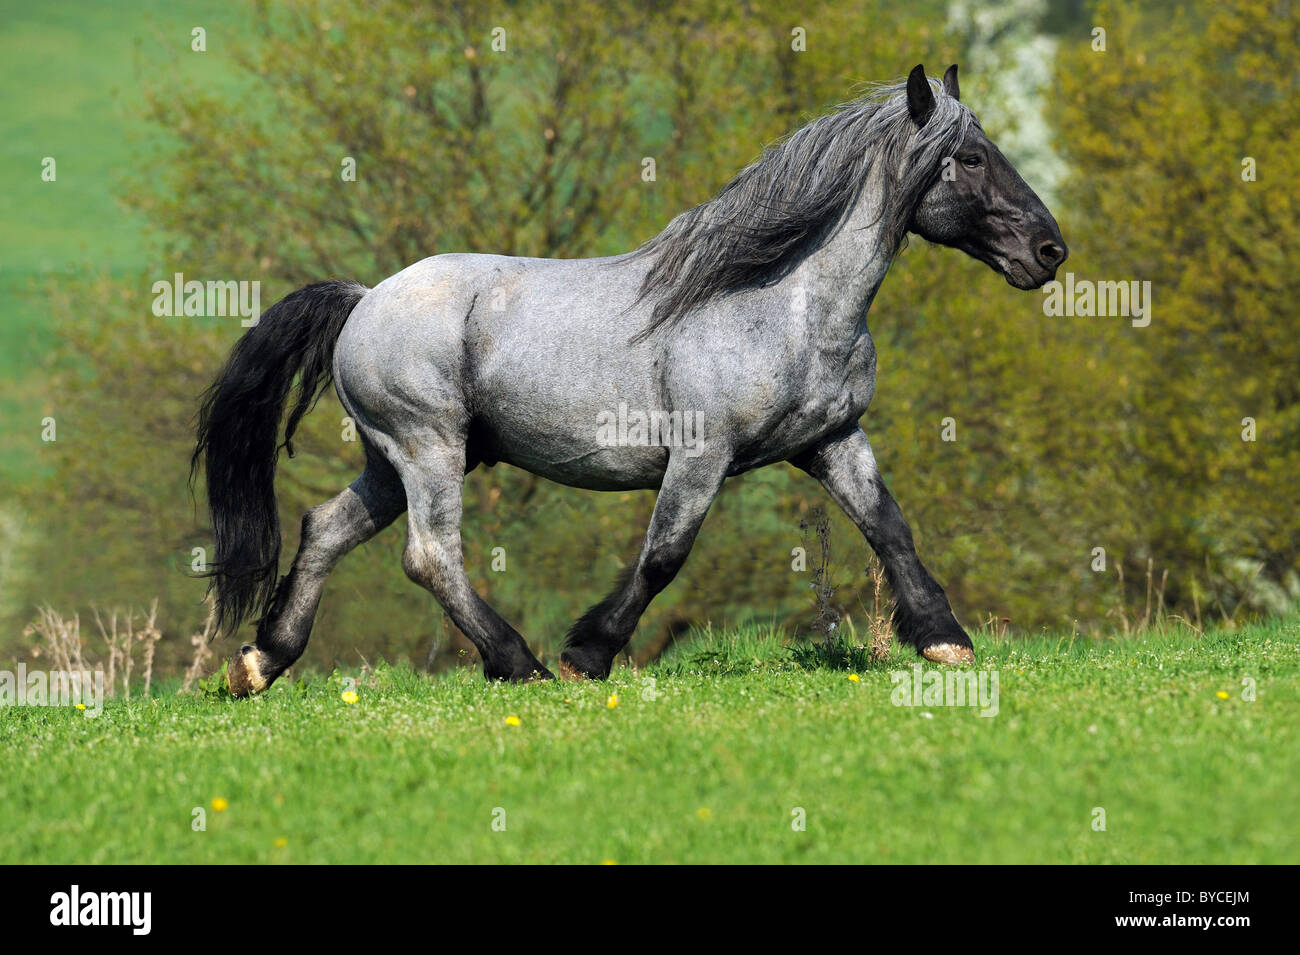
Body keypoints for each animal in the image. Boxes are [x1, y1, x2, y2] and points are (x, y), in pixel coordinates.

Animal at [193, 64, 1067, 697]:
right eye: (971, 158)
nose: (1051, 250)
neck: (785, 303)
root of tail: (366, 298)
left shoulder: (833, 441)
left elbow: (890, 527)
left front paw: (946, 639)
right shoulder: (702, 455)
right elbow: (663, 556)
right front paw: (586, 653)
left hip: (396, 458)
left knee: (325, 529)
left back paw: (259, 663)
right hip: (426, 447)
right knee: (430, 555)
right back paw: (520, 663)